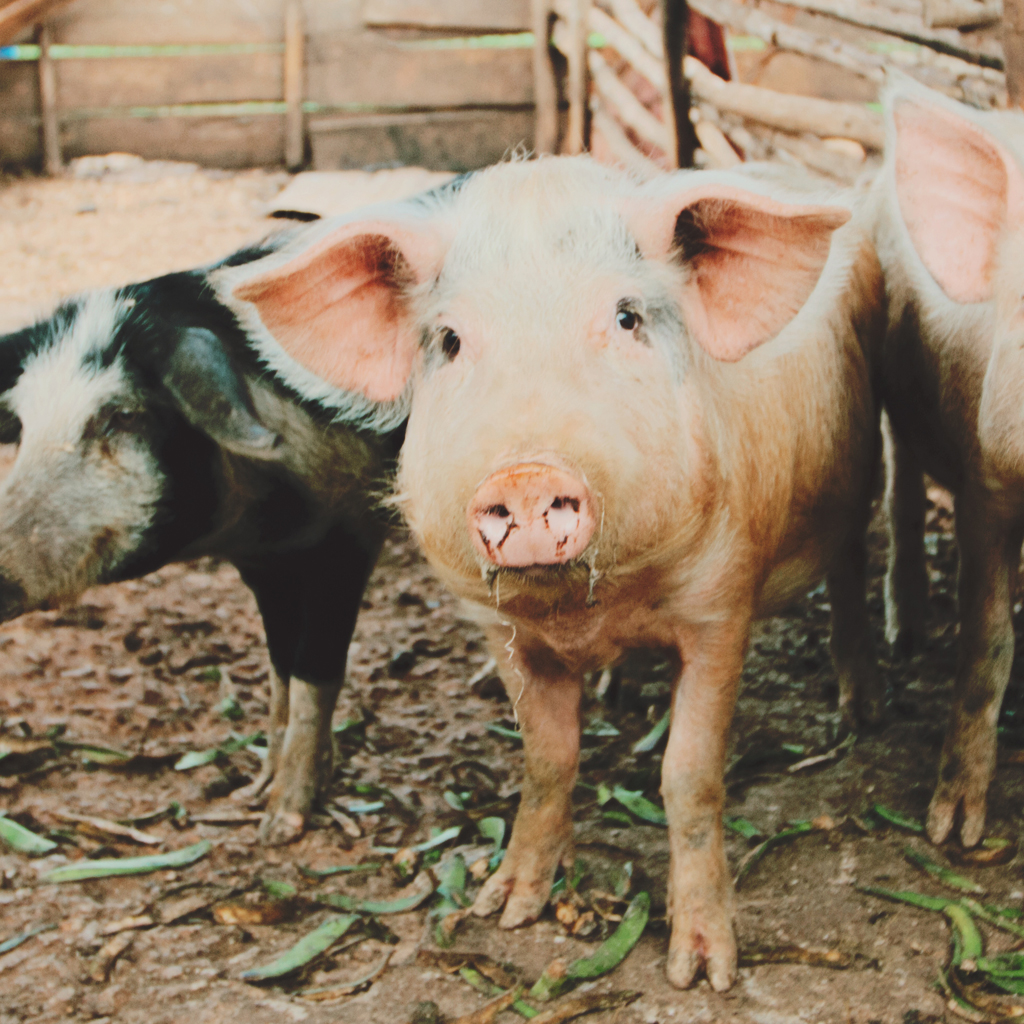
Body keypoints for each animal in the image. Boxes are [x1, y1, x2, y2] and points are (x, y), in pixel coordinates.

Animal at [0, 225, 409, 844]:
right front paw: (252, 791)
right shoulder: (266, 566)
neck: (266, 513)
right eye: (23, 425)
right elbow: (279, 667)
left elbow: (314, 673)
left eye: (122, 416)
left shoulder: (348, 537)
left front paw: (279, 826)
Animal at [221, 155, 886, 989]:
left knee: (853, 571)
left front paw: (702, 971)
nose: (528, 475)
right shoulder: (501, 631)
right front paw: (505, 909)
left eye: (627, 318)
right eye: (450, 339)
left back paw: (857, 711)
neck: (587, 610)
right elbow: (545, 759)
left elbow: (689, 775)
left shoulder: (720, 606)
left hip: (861, 476)